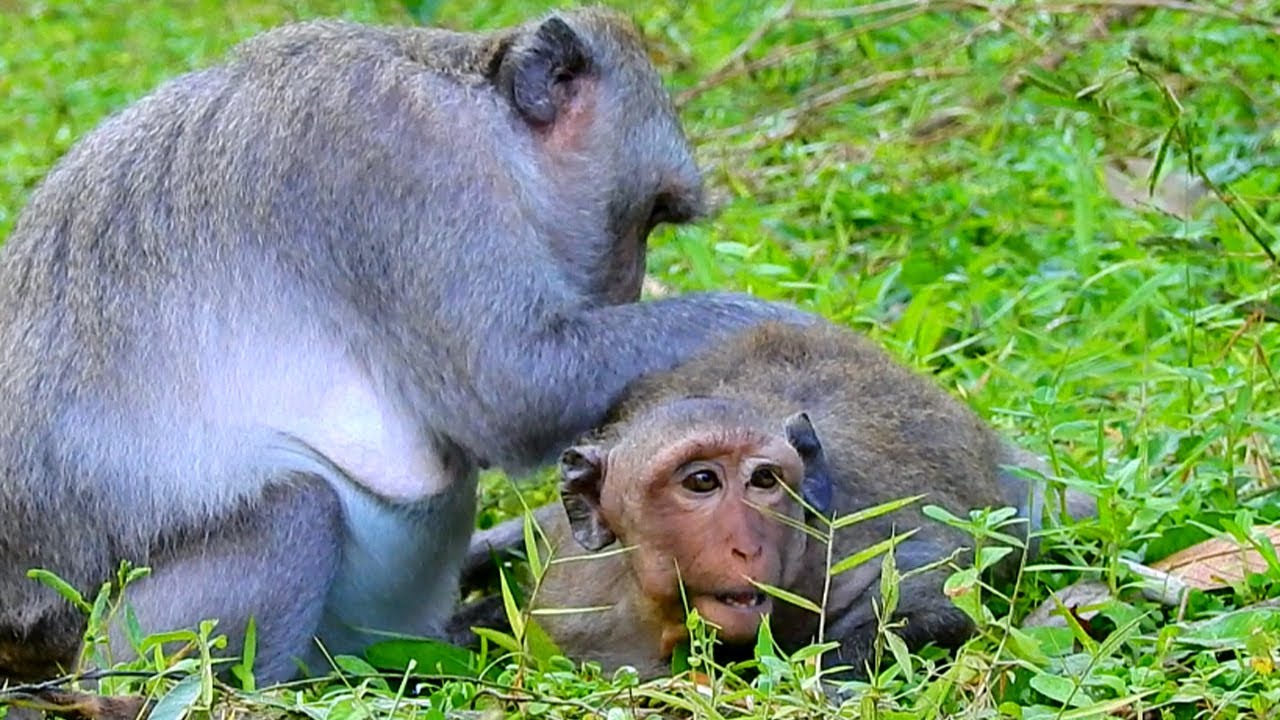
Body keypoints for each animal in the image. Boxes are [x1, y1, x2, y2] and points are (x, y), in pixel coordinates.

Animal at [0, 9, 811, 685]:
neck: (473, 110)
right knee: (295, 514)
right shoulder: (406, 158)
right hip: (86, 632)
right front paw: (778, 323)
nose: (627, 287)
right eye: (650, 216)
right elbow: (515, 388)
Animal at [457, 321, 1093, 679]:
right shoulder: (579, 614)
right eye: (700, 482)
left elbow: (934, 588)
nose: (745, 547)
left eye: (764, 481)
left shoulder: (841, 535)